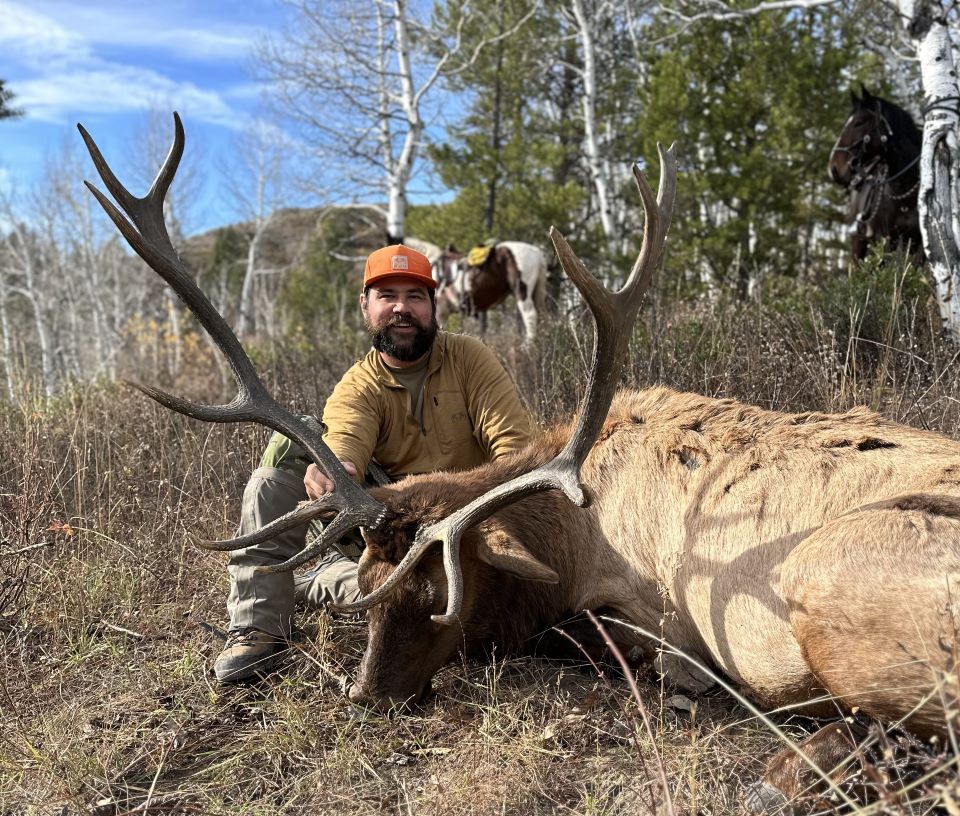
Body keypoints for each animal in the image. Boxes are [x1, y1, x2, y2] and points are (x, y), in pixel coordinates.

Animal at [79, 114, 960, 811]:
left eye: (441, 596)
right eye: (366, 583)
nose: (366, 696)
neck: (566, 531)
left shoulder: (656, 621)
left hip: (829, 568)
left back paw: (789, 772)